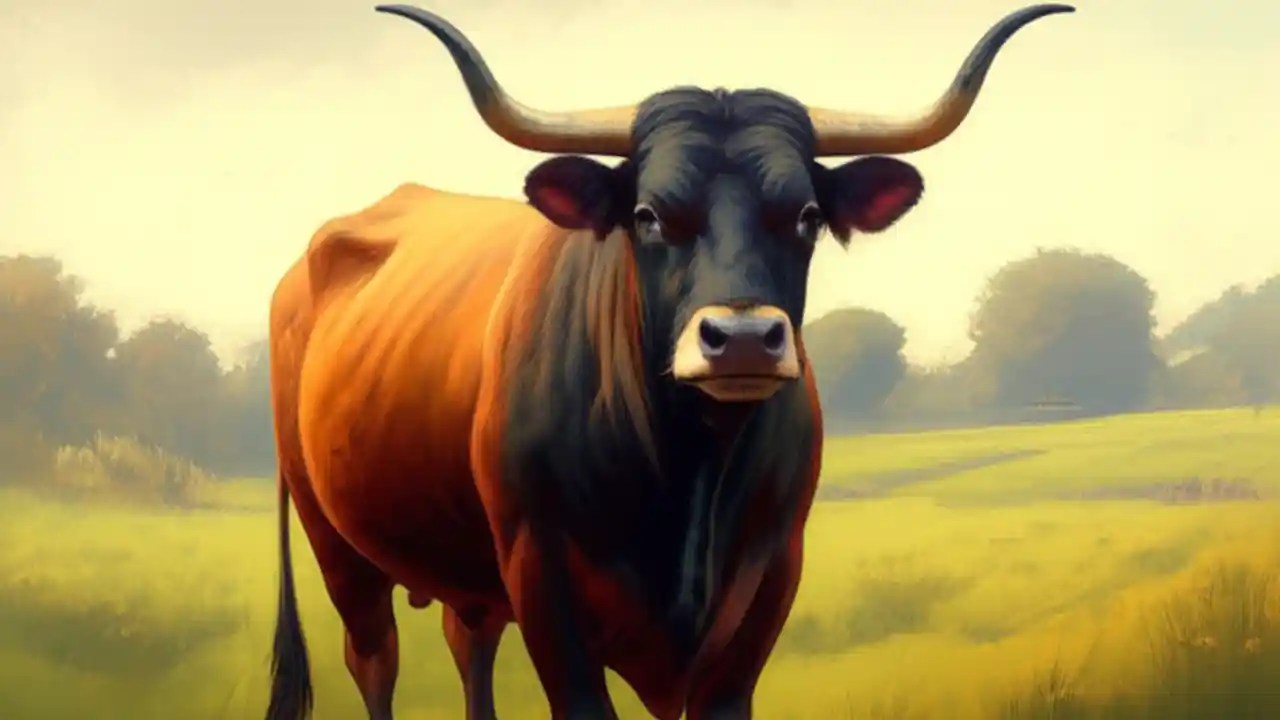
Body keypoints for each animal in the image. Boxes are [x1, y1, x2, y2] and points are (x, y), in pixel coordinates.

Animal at [263, 4, 1073, 719]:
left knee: (469, 644)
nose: (742, 338)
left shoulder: (769, 579)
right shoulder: (540, 574)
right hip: (335, 542)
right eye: (648, 215)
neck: (687, 472)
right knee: (374, 659)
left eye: (808, 215)